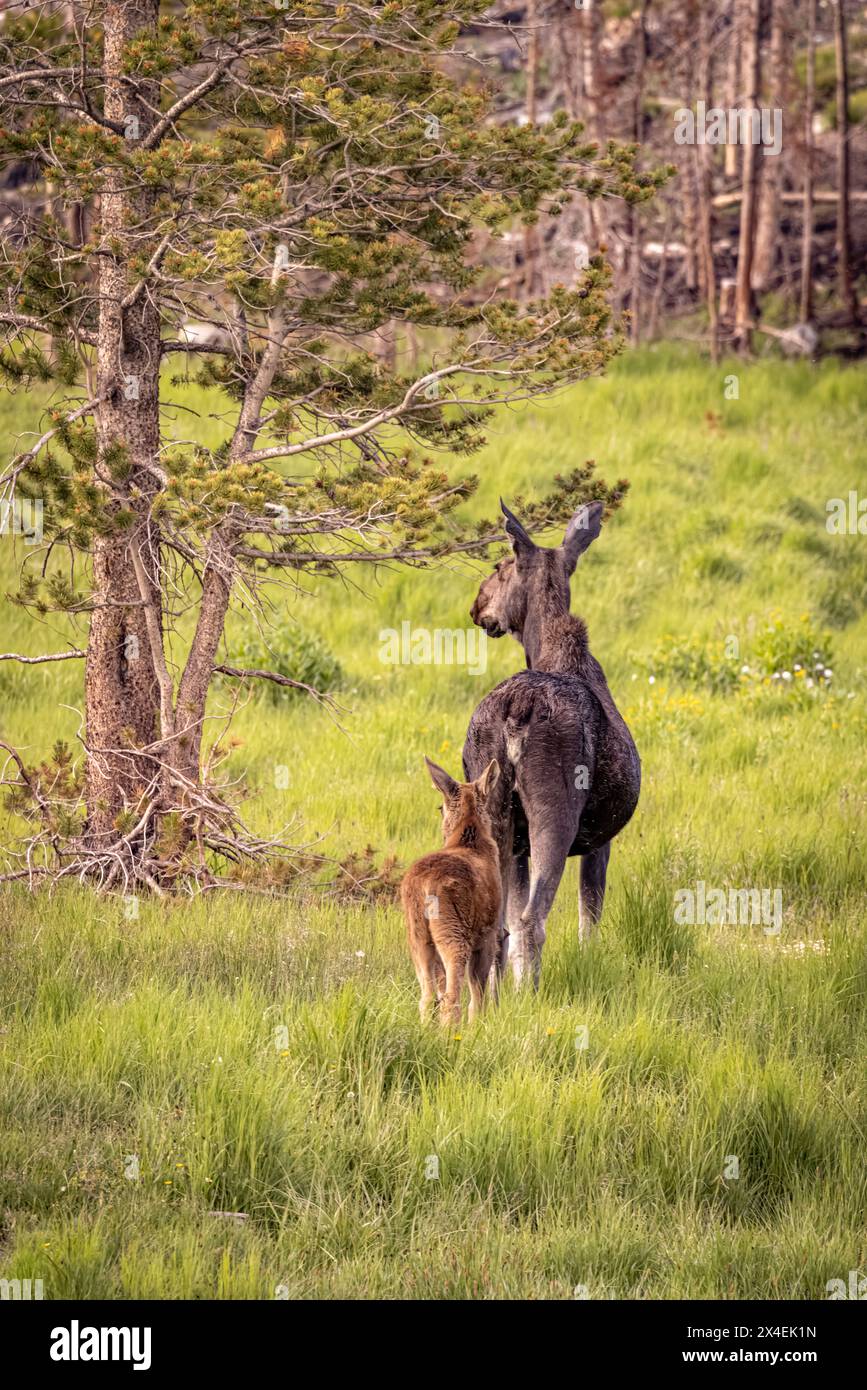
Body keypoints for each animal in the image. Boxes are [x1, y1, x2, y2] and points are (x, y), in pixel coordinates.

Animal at [401, 758, 502, 1028]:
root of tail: (425, 885)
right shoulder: (487, 934)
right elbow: (478, 992)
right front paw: (478, 1025)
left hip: (417, 936)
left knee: (427, 996)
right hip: (454, 930)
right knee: (451, 995)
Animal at [463, 499, 640, 988]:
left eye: (498, 566)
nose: (476, 605)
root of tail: (516, 710)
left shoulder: (520, 843)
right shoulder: (601, 837)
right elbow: (589, 919)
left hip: (494, 814)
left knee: (501, 924)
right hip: (556, 812)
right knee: (531, 919)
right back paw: (531, 993)